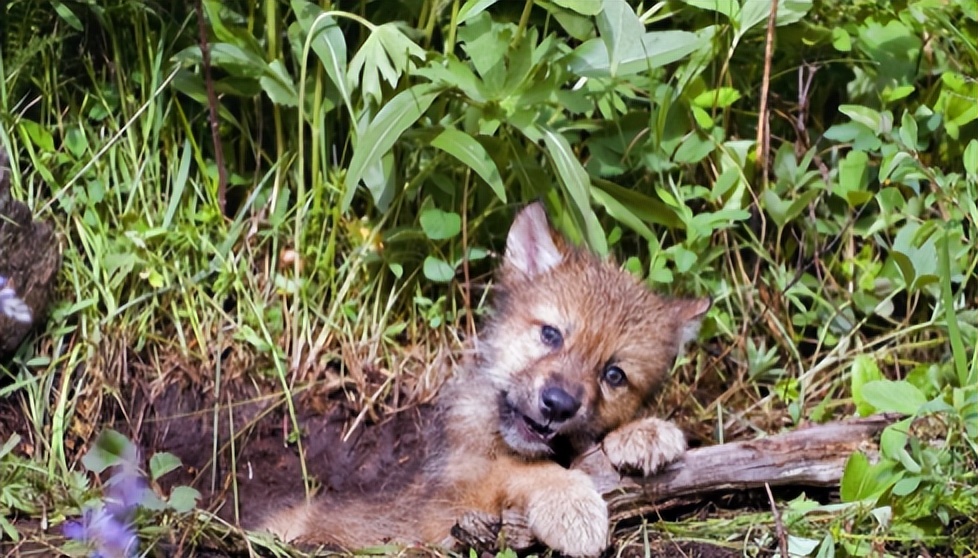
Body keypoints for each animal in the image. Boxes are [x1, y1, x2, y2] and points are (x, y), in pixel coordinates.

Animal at [261, 202, 710, 556]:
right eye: (551, 334)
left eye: (614, 374)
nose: (558, 404)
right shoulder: (445, 507)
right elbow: (517, 469)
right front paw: (571, 504)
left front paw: (644, 433)